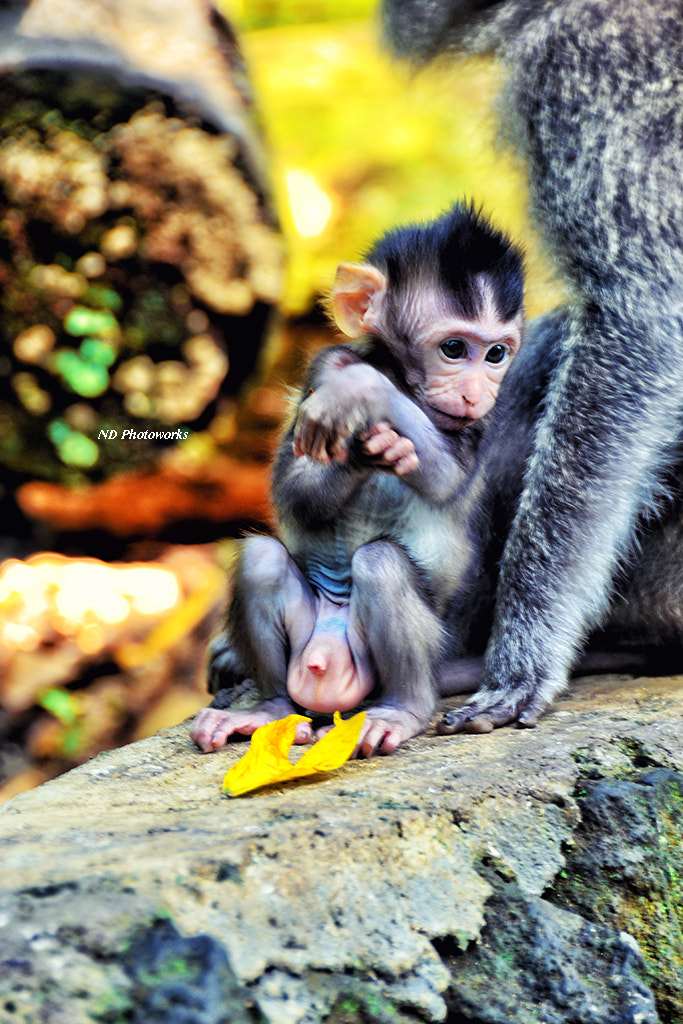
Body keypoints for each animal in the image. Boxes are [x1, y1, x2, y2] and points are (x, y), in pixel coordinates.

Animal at [190, 201, 525, 758]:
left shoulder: (483, 424)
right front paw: (359, 436)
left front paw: (365, 400)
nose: (475, 393)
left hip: (403, 654)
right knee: (261, 560)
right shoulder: (325, 363)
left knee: (382, 565)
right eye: (455, 348)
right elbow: (294, 491)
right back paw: (268, 708)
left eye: (497, 354)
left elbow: (447, 479)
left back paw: (402, 711)